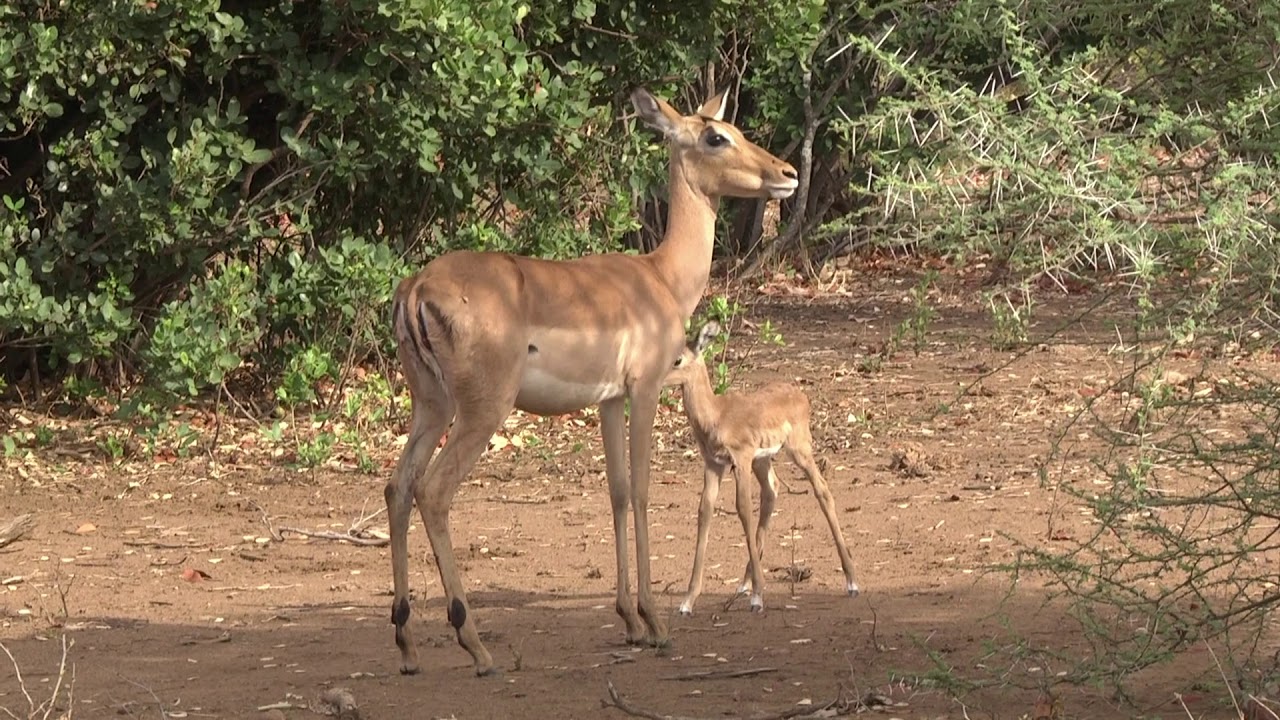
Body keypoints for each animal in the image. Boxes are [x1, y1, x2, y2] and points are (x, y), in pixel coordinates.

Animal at [386, 88, 799, 677]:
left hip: (431, 404)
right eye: (716, 136)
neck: (660, 276)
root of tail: (416, 288)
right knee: (433, 490)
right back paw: (477, 647)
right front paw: (656, 622)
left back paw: (407, 646)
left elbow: (618, 492)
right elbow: (644, 490)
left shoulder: (609, 401)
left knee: (397, 486)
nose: (786, 173)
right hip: (482, 410)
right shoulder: (645, 389)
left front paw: (629, 621)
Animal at [665, 322, 859, 615]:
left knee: (822, 491)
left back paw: (851, 582)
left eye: (678, 359)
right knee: (772, 491)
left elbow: (743, 508)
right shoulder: (714, 464)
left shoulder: (741, 459)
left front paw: (758, 597)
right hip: (764, 460)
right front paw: (688, 600)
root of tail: (800, 394)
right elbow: (704, 512)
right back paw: (744, 584)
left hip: (798, 450)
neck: (716, 415)